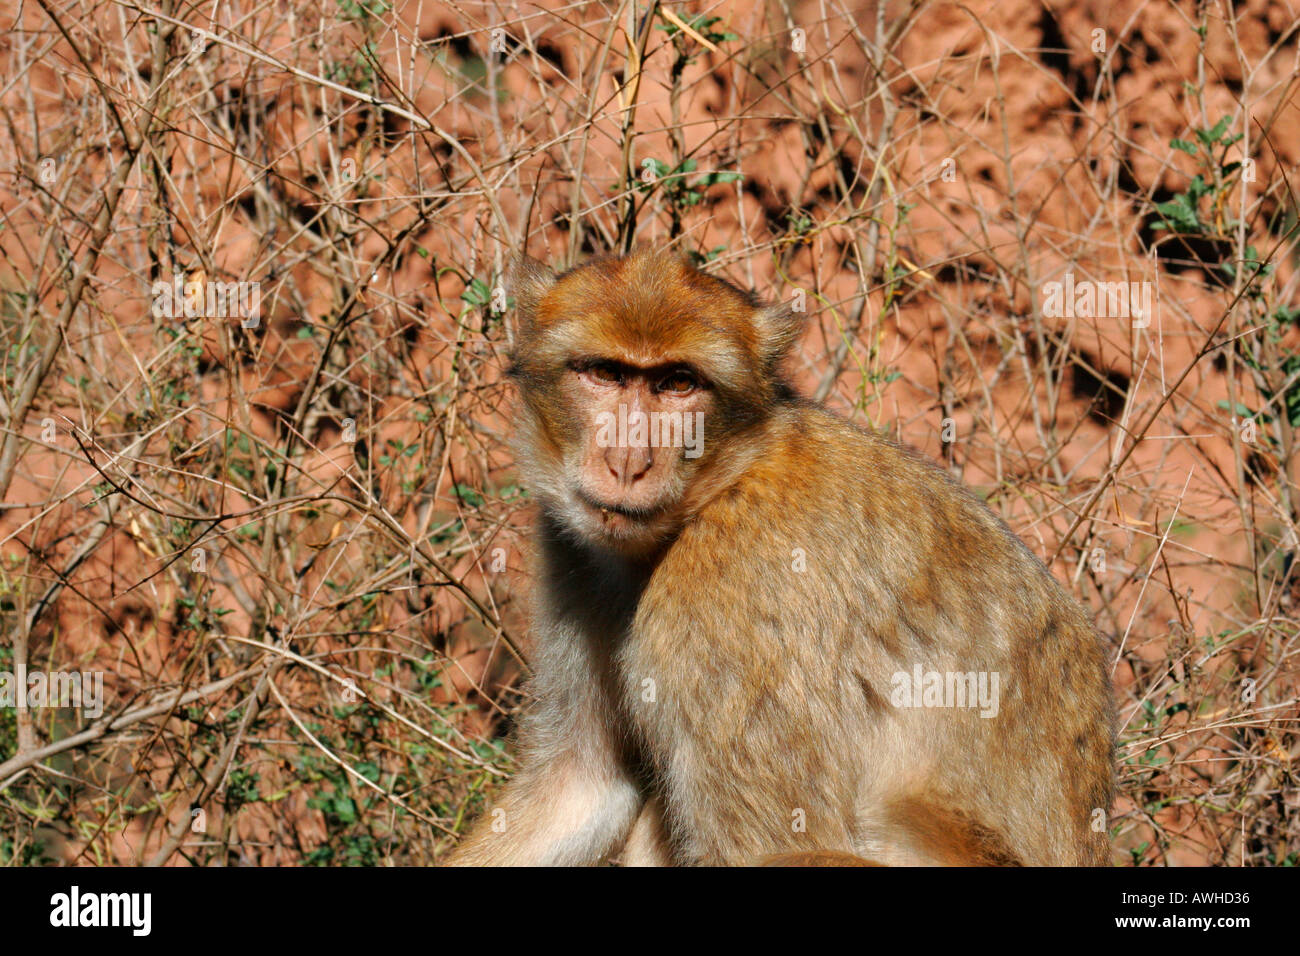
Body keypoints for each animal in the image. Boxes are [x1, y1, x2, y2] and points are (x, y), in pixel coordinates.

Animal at [448, 246, 1114, 866]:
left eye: (678, 383)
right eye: (604, 373)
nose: (628, 461)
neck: (716, 490)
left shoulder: (727, 596)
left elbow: (771, 846)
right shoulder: (575, 558)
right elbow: (581, 788)